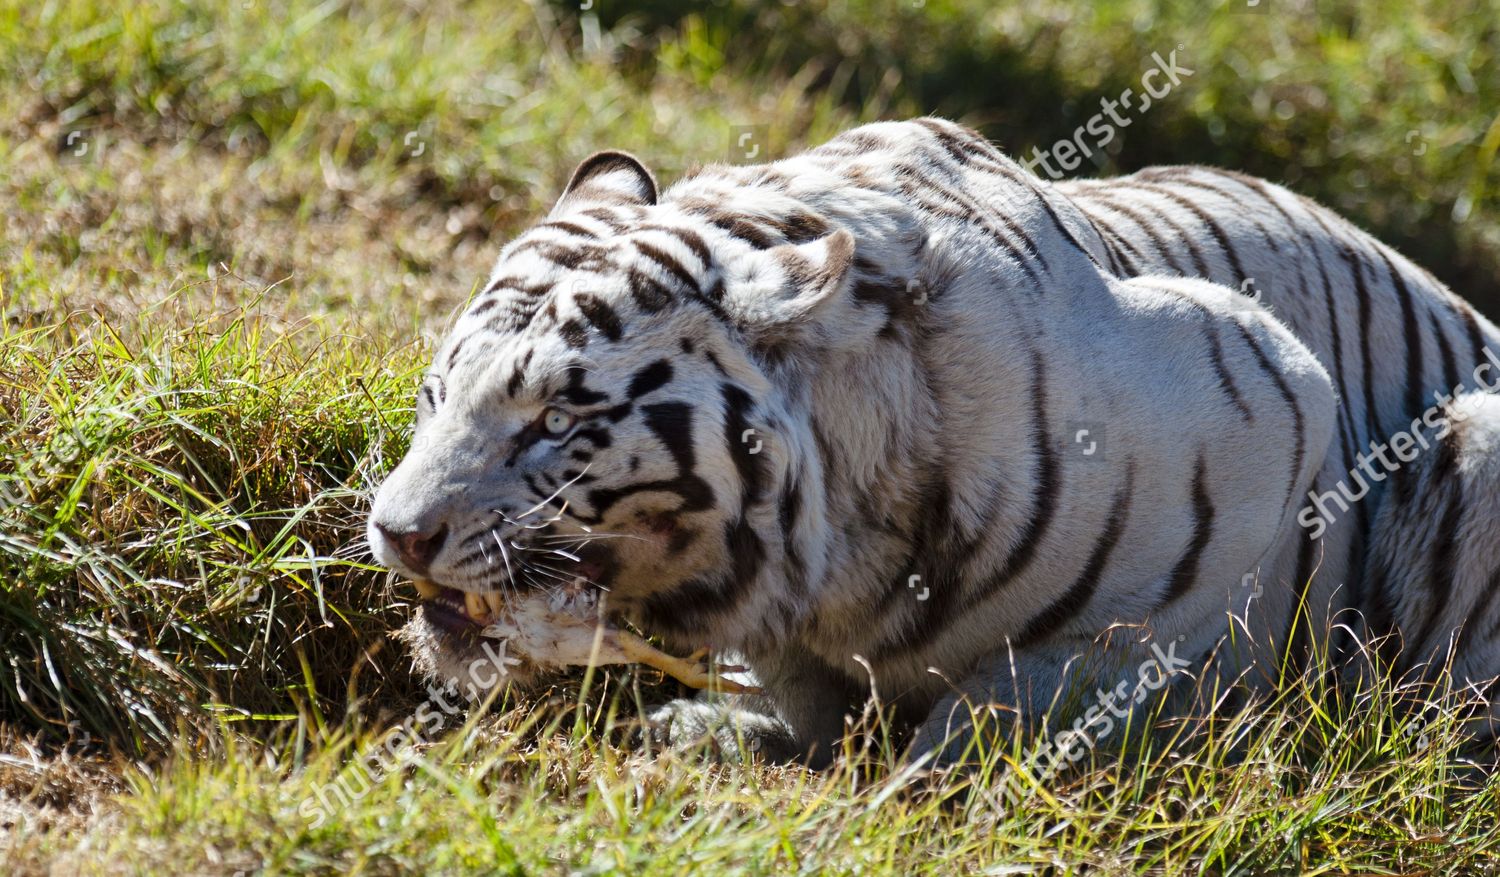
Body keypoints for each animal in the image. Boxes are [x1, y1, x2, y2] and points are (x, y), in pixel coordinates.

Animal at [367, 117, 1500, 767]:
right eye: (436, 394)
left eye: (555, 420)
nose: (395, 533)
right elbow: (807, 698)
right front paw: (726, 734)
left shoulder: (1273, 406)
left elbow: (1009, 707)